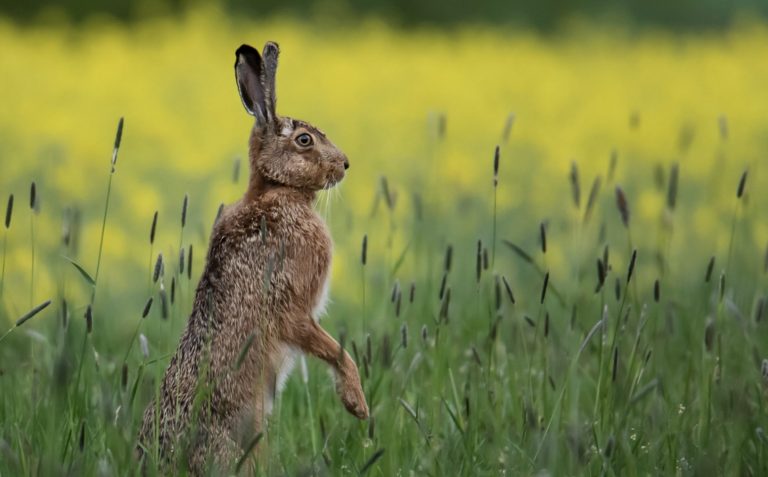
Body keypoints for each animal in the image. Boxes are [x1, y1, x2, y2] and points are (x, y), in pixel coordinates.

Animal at [137, 41, 369, 475]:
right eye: (305, 140)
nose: (345, 164)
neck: (278, 190)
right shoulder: (293, 307)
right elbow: (335, 350)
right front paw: (356, 404)